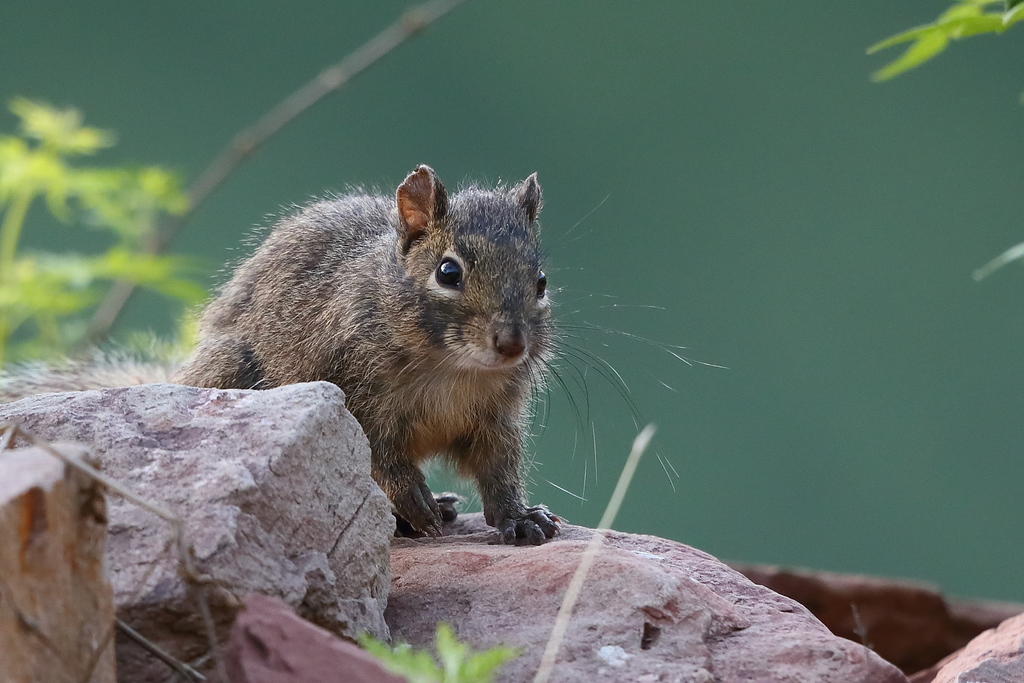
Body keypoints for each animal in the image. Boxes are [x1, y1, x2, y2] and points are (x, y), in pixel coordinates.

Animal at [0, 165, 560, 544]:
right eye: (448, 272)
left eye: (540, 282)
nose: (511, 343)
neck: (451, 367)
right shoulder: (350, 390)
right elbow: (379, 456)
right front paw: (413, 499)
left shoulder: (492, 417)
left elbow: (497, 467)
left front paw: (520, 517)